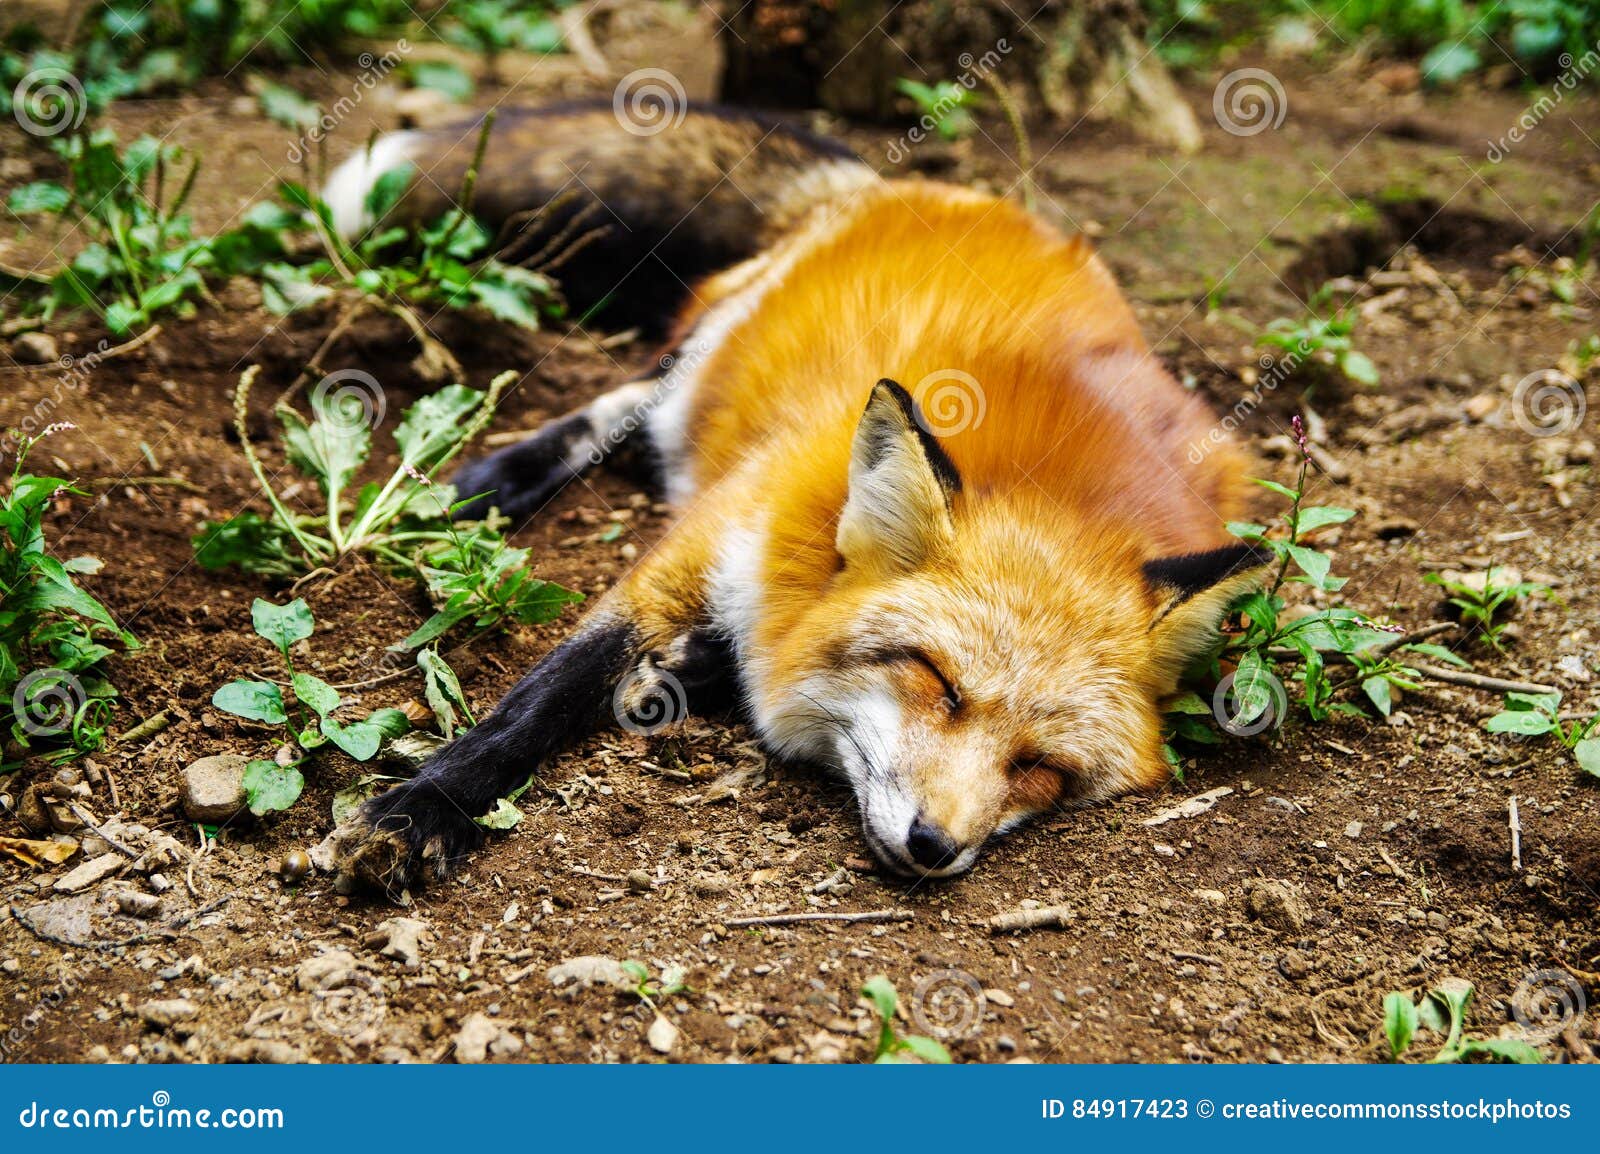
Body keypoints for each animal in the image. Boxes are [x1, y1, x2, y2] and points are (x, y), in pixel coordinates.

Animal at [323, 101, 1266, 895]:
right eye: (939, 684)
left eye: (1041, 768)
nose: (934, 846)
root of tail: (907, 185)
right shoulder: (703, 539)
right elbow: (540, 698)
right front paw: (422, 809)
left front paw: (692, 666)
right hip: (711, 350)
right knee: (637, 399)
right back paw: (492, 484)